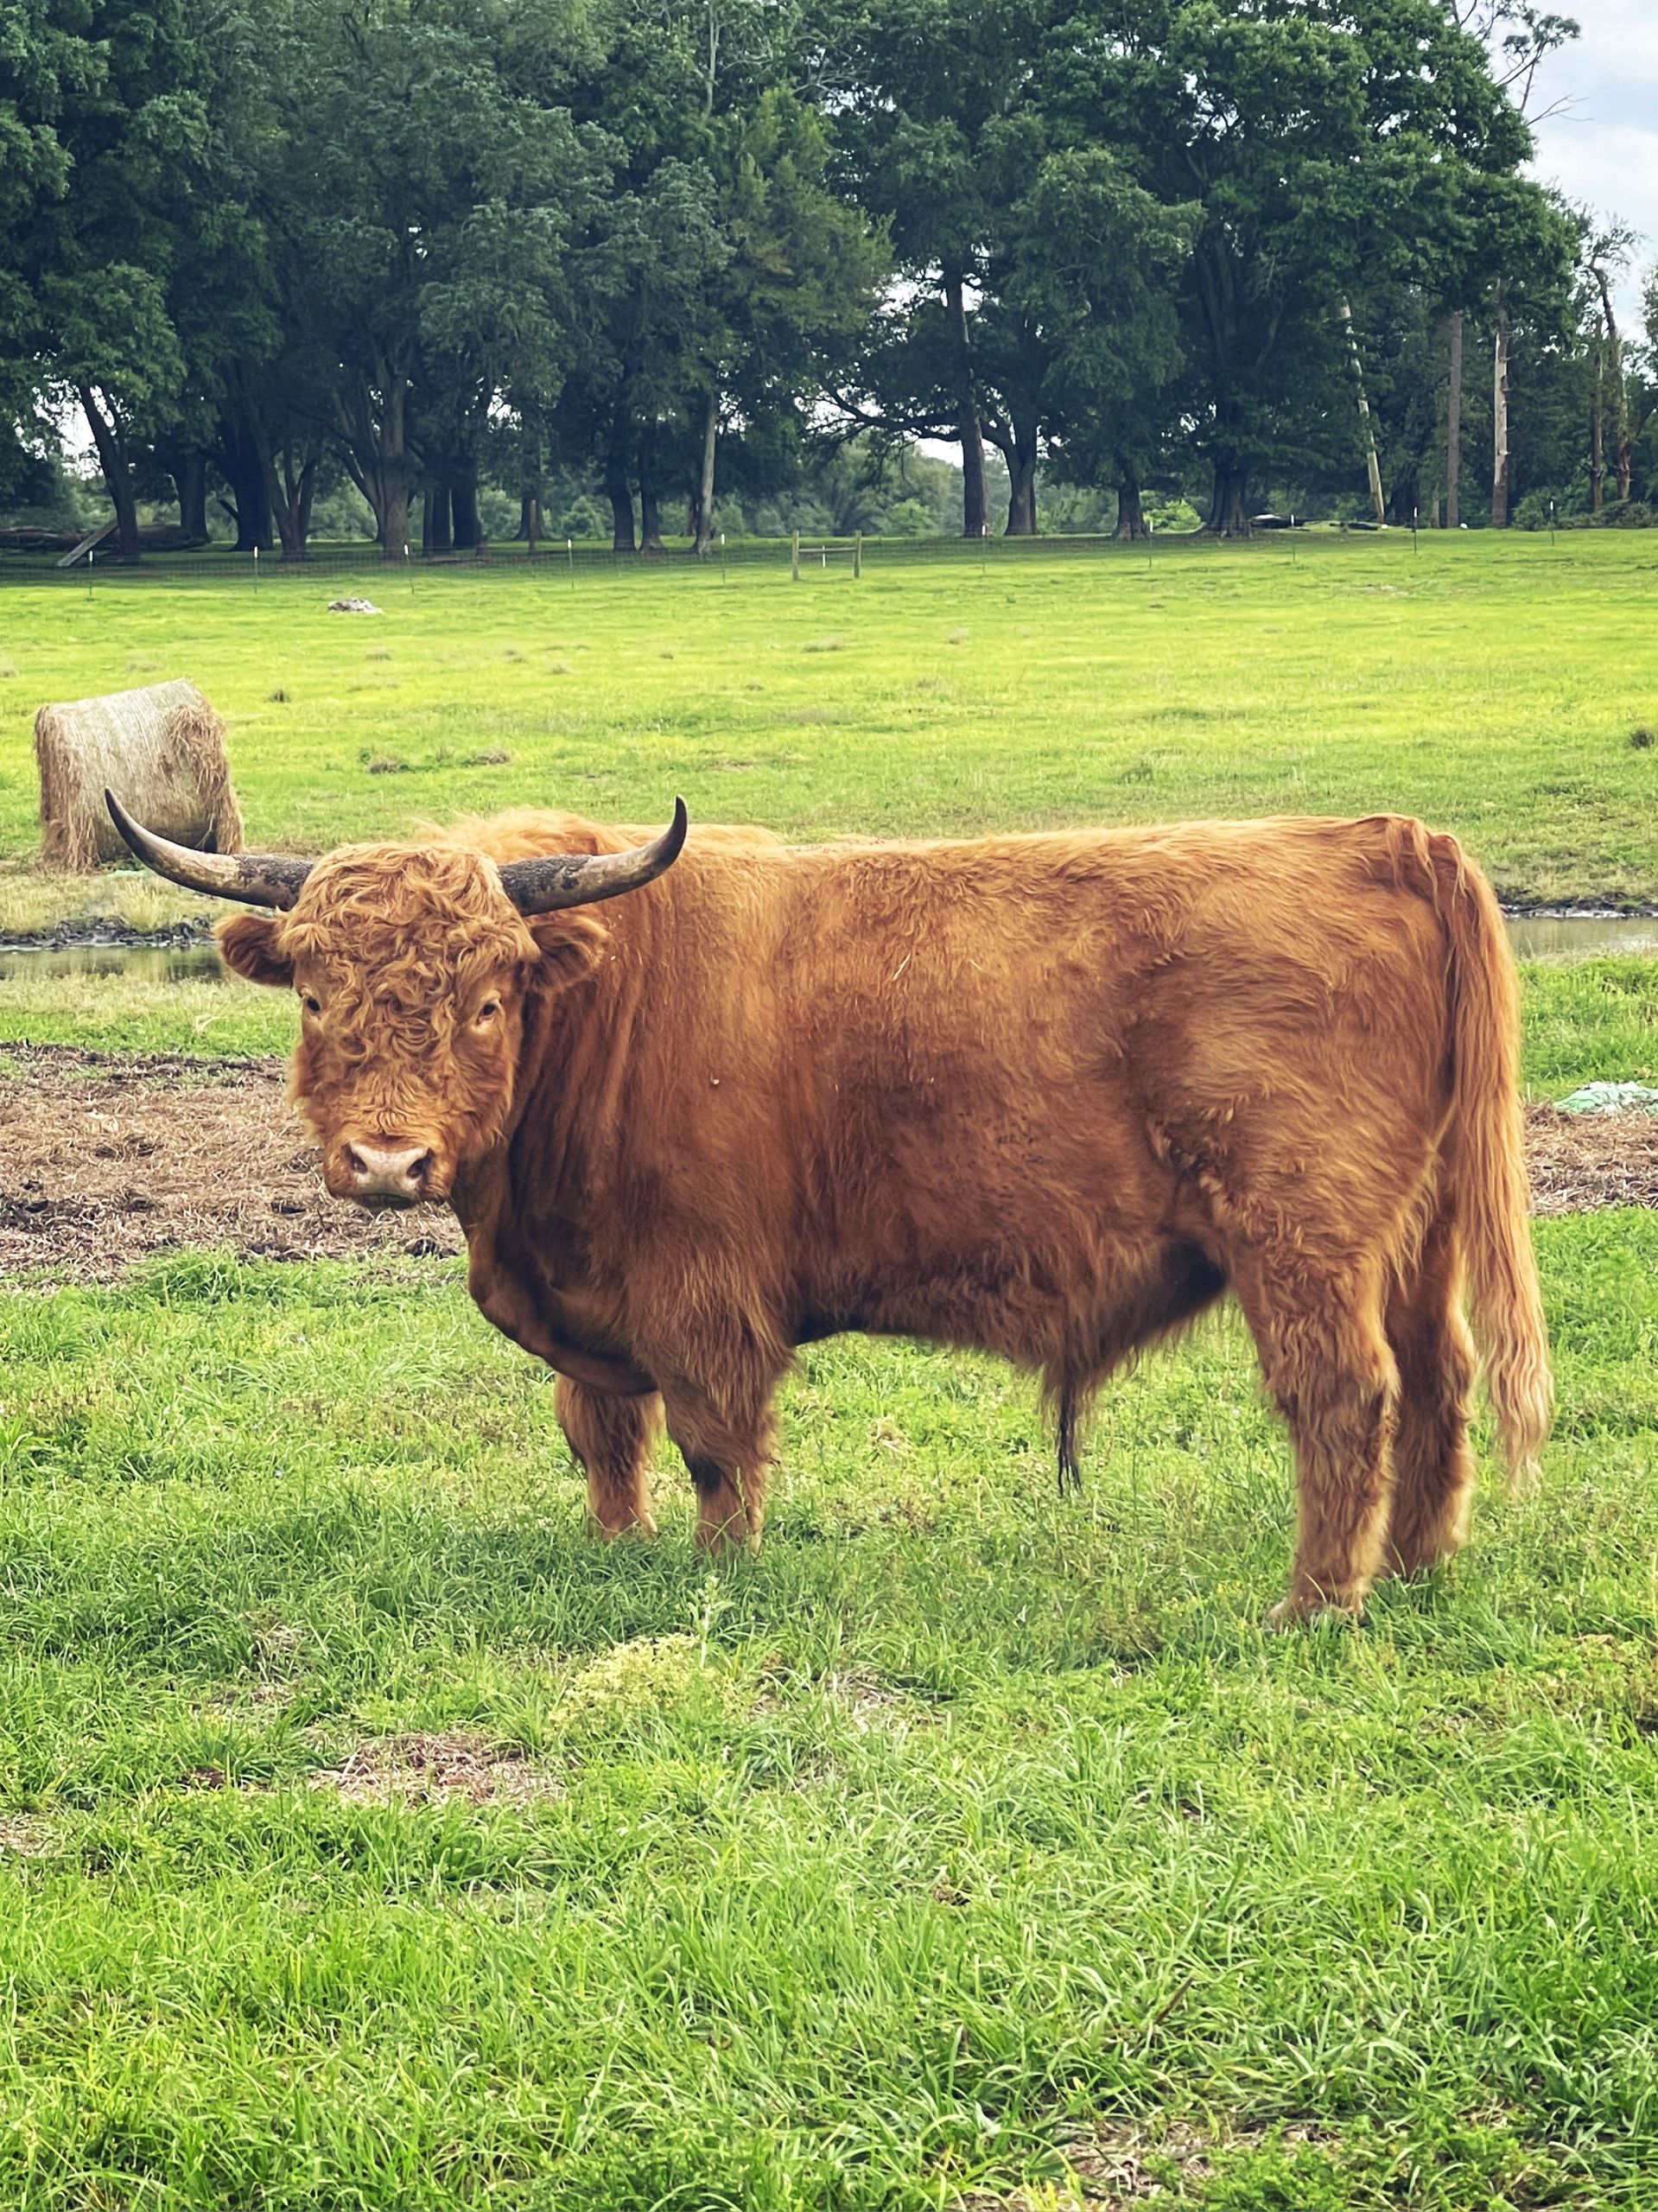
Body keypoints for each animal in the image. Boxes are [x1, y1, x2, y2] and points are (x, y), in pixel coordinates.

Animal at [107, 789, 1551, 1623]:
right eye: (312, 995)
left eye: (484, 998)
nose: (386, 1162)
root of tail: (1381, 840)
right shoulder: (595, 1305)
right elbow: (601, 1430)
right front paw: (617, 1550)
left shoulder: (700, 1297)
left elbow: (712, 1442)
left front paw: (717, 1572)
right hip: (1414, 1238)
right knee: (1438, 1380)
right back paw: (1416, 1572)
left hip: (1299, 1234)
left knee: (1342, 1394)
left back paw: (1316, 1604)